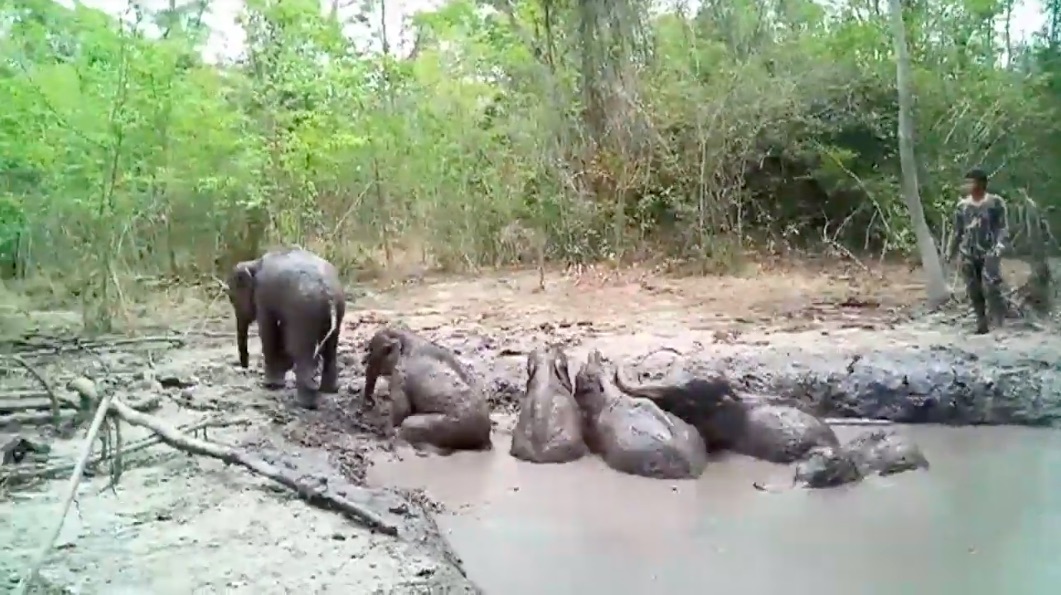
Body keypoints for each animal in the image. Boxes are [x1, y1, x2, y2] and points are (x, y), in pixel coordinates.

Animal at [226, 248, 345, 410]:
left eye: (232, 298)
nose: (245, 367)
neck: (254, 263)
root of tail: (329, 294)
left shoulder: (263, 296)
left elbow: (267, 331)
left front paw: (271, 385)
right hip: (338, 308)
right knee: (330, 348)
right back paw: (330, 390)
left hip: (304, 313)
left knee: (302, 350)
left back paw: (305, 403)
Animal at [362, 327, 492, 453]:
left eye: (371, 350)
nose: (371, 402)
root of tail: (486, 439)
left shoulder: (400, 376)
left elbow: (402, 410)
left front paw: (386, 431)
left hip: (453, 426)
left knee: (408, 424)